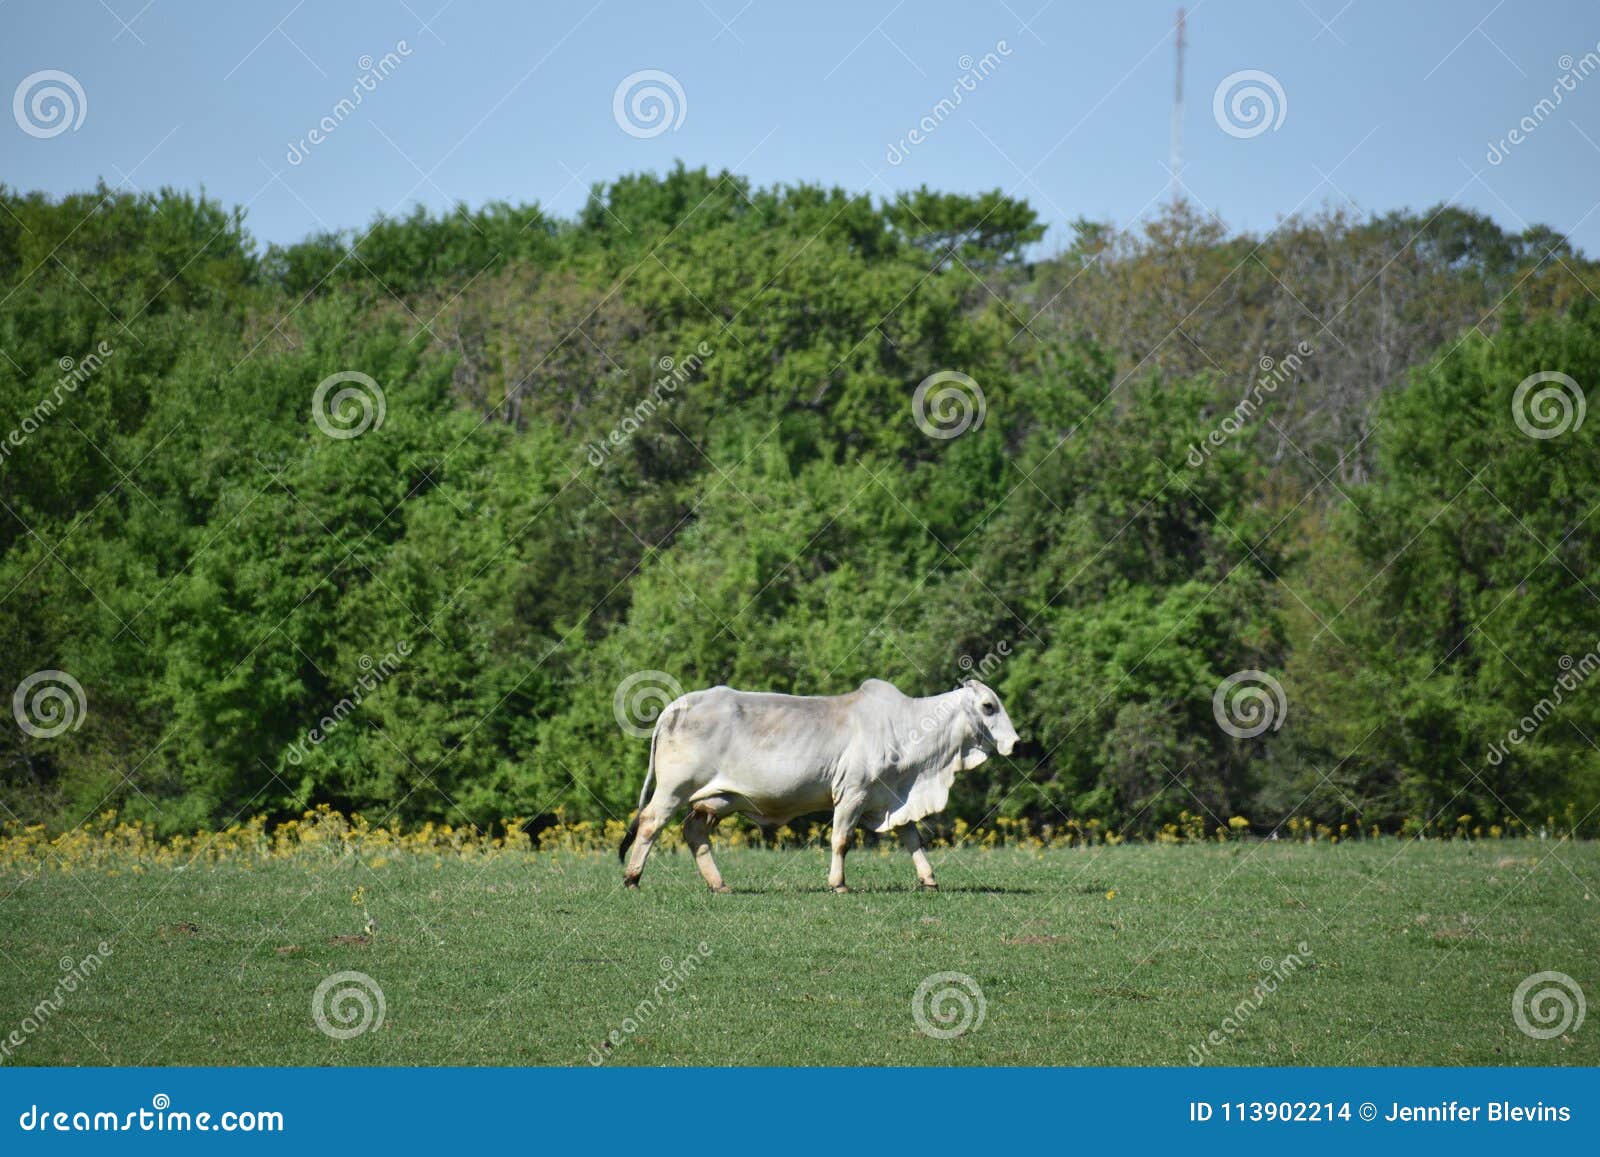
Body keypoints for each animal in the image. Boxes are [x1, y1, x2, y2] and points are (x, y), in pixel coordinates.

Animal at [618, 677, 1019, 893]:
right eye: (988, 705)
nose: (1015, 742)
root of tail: (676, 706)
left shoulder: (890, 798)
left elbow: (912, 838)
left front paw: (929, 879)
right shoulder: (853, 793)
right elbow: (841, 840)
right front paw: (838, 883)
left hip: (717, 799)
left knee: (694, 831)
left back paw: (718, 884)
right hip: (673, 789)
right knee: (651, 824)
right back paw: (633, 878)